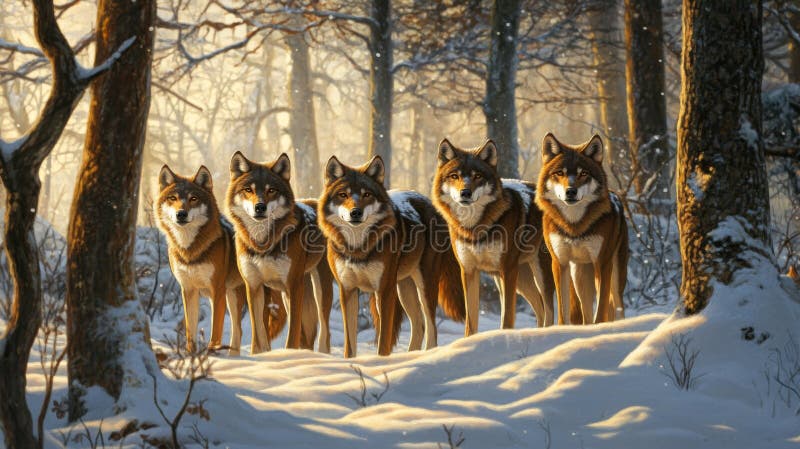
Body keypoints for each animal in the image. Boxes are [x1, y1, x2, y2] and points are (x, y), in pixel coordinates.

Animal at [226, 152, 334, 355]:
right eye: (248, 190)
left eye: (271, 190)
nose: (259, 207)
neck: (263, 244)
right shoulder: (254, 286)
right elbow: (259, 335)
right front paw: (258, 357)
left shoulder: (294, 285)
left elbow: (292, 335)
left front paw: (290, 354)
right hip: (286, 294)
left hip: (317, 289)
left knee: (324, 332)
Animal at [318, 155, 465, 357]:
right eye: (343, 195)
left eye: (366, 195)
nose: (355, 212)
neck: (358, 247)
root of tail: (428, 201)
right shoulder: (347, 289)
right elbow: (350, 342)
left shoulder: (384, 289)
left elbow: (384, 339)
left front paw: (380, 360)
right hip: (404, 288)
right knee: (419, 326)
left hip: (424, 286)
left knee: (431, 327)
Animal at [432, 139, 555, 335]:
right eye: (454, 176)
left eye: (477, 176)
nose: (465, 193)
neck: (474, 228)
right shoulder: (469, 271)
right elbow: (471, 322)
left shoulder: (507, 270)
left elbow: (507, 317)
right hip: (520, 281)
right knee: (541, 310)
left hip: (539, 274)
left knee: (550, 311)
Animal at [535, 133, 629, 325]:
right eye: (560, 173)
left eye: (583, 173)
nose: (571, 191)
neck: (574, 226)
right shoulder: (559, 263)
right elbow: (563, 311)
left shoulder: (602, 262)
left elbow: (601, 310)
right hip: (579, 277)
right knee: (586, 314)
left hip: (615, 275)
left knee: (617, 305)